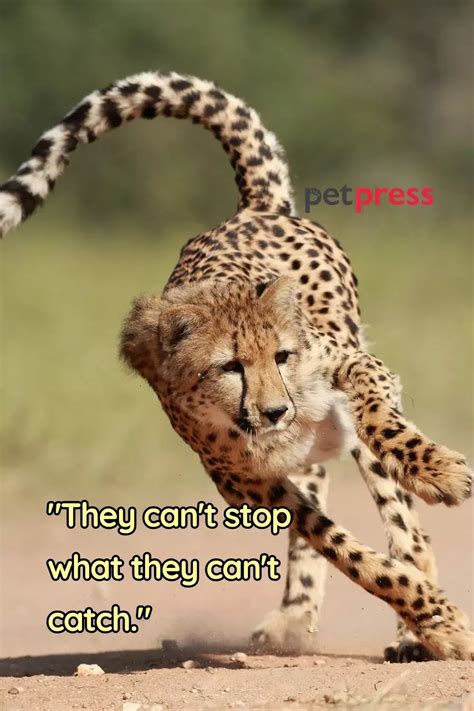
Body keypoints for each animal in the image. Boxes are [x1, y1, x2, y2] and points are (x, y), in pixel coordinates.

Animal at [1, 71, 472, 662]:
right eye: (229, 367)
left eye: (281, 356)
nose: (275, 412)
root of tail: (255, 208)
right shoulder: (254, 485)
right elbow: (345, 551)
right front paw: (435, 616)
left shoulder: (352, 366)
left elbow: (382, 422)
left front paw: (438, 473)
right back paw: (300, 619)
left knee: (406, 524)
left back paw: (409, 629)